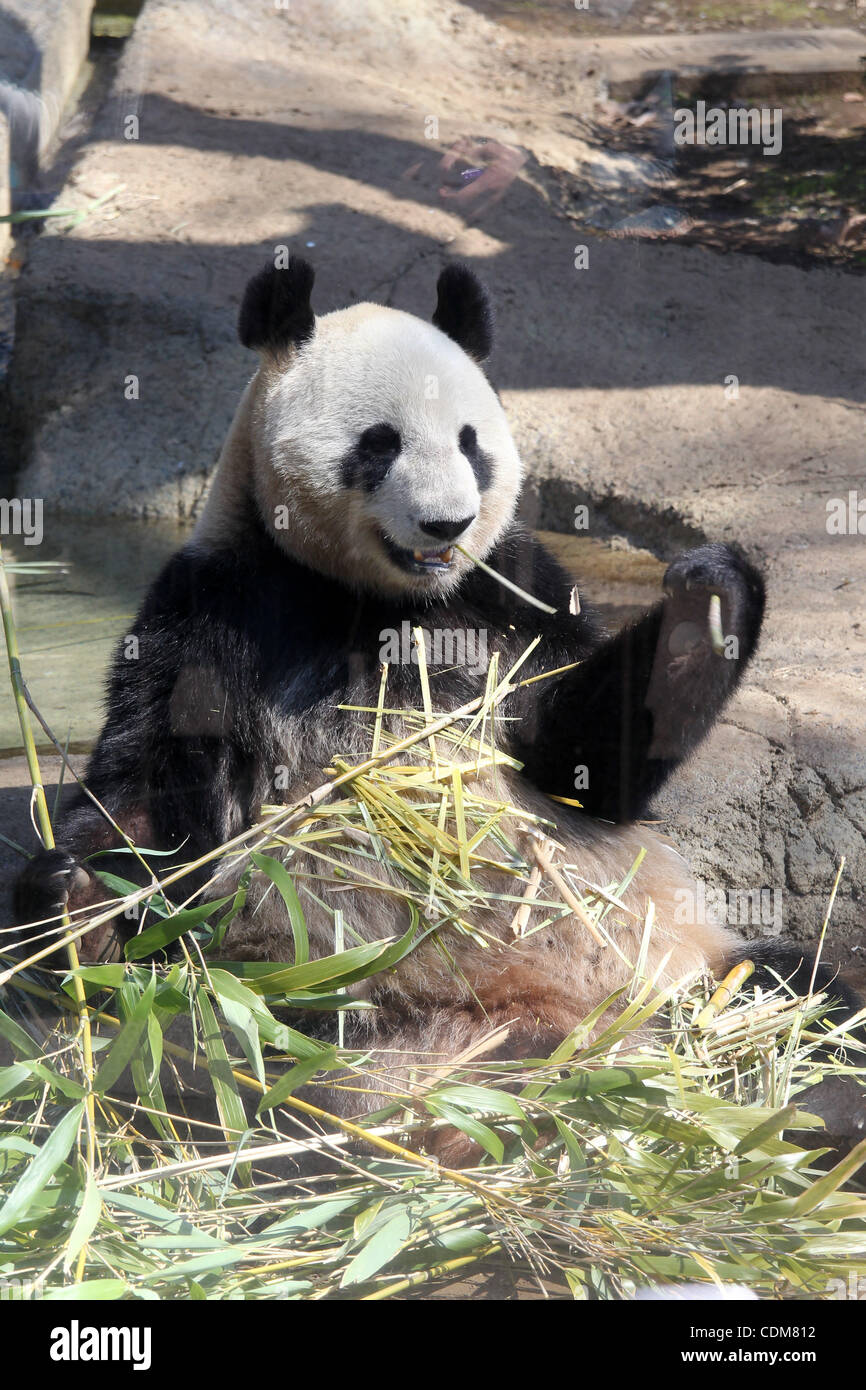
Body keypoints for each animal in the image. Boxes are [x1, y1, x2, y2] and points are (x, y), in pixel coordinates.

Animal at [13, 256, 859, 1151]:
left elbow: (583, 767)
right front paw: (70, 896)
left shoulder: (514, 590)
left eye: (471, 443)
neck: (387, 600)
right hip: (318, 1007)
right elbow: (148, 798)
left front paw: (707, 603)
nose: (447, 523)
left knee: (805, 994)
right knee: (237, 1053)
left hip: (686, 970)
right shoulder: (214, 606)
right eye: (378, 444)